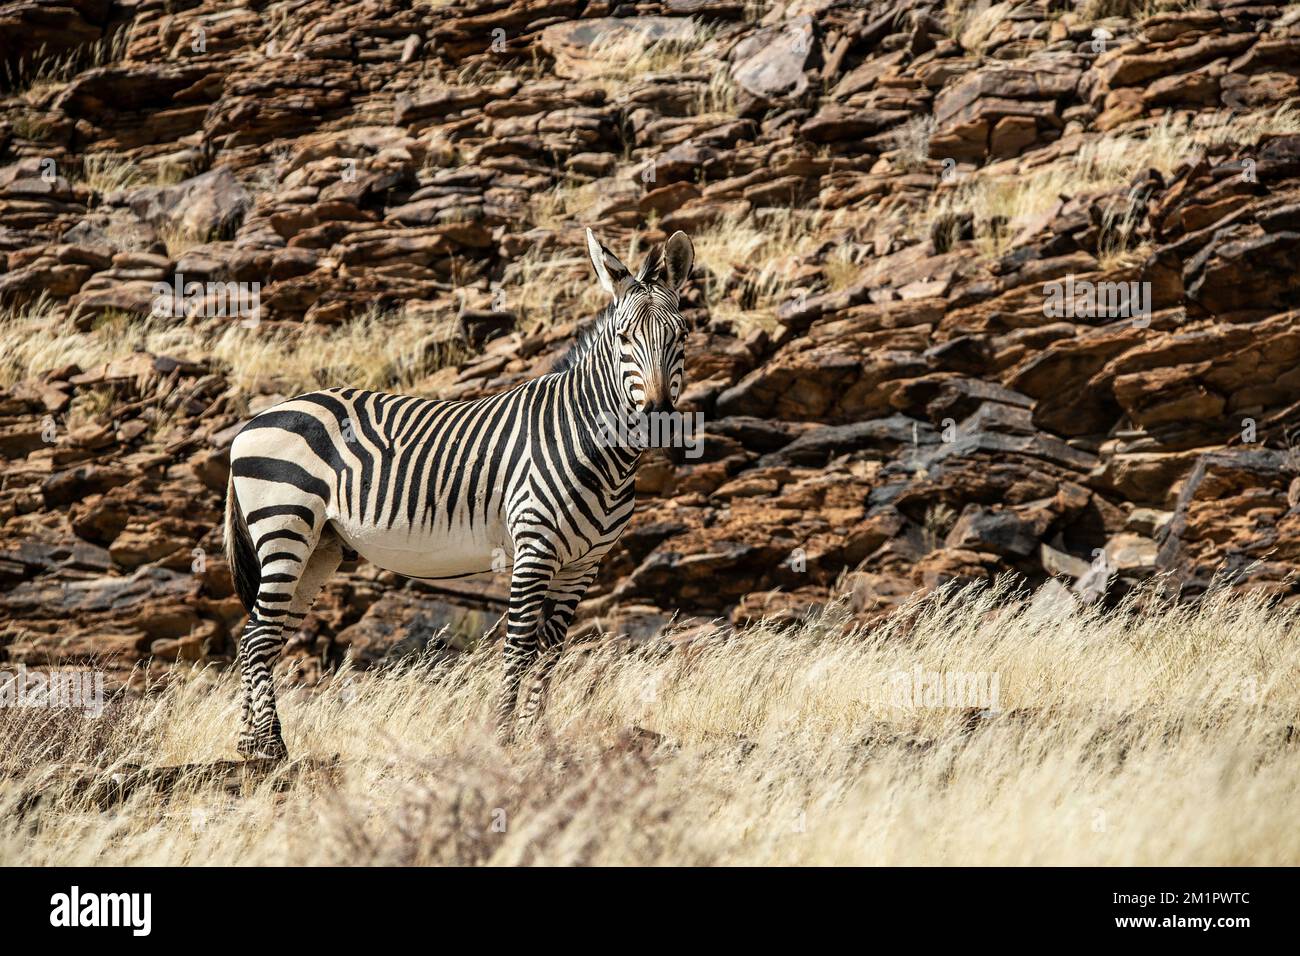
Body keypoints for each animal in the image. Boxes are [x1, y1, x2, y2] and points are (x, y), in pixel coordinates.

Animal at [223, 229, 695, 757]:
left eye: (680, 336)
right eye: (623, 339)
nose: (658, 417)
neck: (588, 442)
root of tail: (256, 420)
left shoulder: (582, 564)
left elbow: (551, 651)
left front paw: (538, 737)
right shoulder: (533, 549)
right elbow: (520, 647)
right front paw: (504, 737)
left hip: (319, 547)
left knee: (258, 635)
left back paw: (249, 747)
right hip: (284, 525)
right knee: (260, 637)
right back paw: (272, 747)